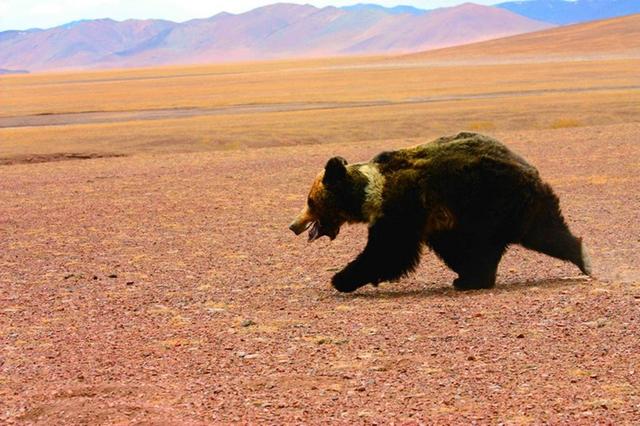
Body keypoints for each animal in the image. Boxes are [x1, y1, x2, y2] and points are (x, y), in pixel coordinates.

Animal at [289, 132, 591, 293]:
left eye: (310, 201)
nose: (293, 225)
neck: (368, 194)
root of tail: (529, 169)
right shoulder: (437, 220)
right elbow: (450, 247)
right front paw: (464, 273)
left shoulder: (402, 207)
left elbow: (389, 251)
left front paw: (342, 278)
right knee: (545, 231)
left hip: (493, 201)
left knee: (524, 236)